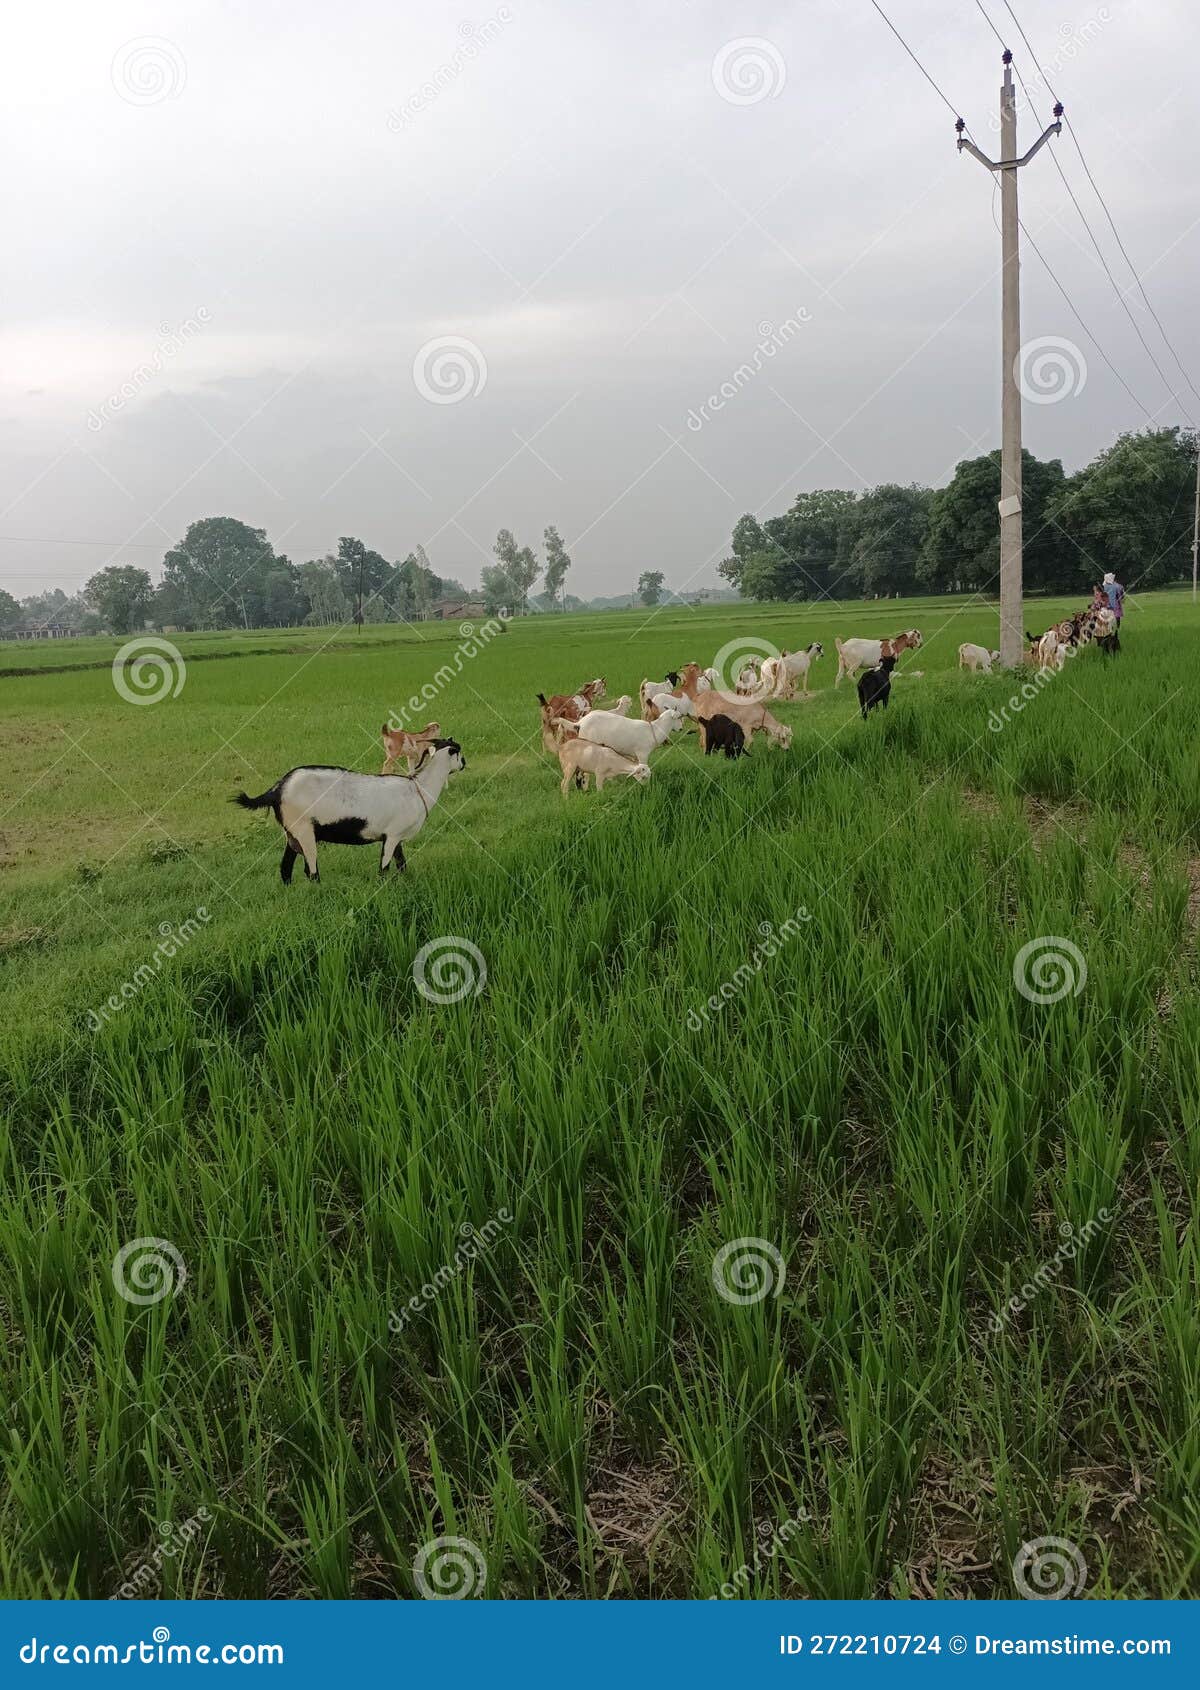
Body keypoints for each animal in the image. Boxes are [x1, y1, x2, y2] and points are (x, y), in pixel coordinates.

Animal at [233, 740, 465, 883]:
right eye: (458, 752)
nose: (464, 763)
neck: (418, 789)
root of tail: (278, 788)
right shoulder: (392, 835)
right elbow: (384, 868)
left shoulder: (396, 837)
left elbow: (402, 864)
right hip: (304, 829)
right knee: (311, 870)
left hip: (291, 833)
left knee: (286, 867)